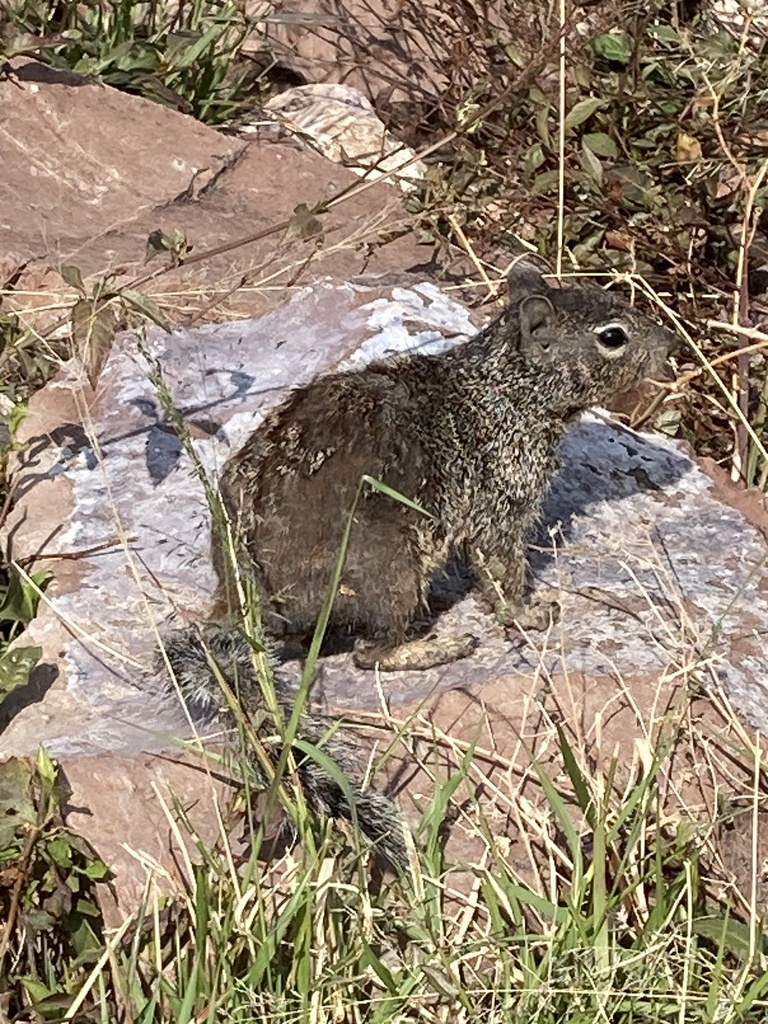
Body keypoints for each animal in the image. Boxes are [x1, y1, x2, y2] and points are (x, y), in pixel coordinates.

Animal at [158, 267, 678, 869]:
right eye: (613, 336)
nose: (671, 345)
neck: (504, 390)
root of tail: (246, 607)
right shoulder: (502, 500)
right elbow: (501, 570)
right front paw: (529, 613)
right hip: (393, 574)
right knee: (370, 653)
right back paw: (439, 646)